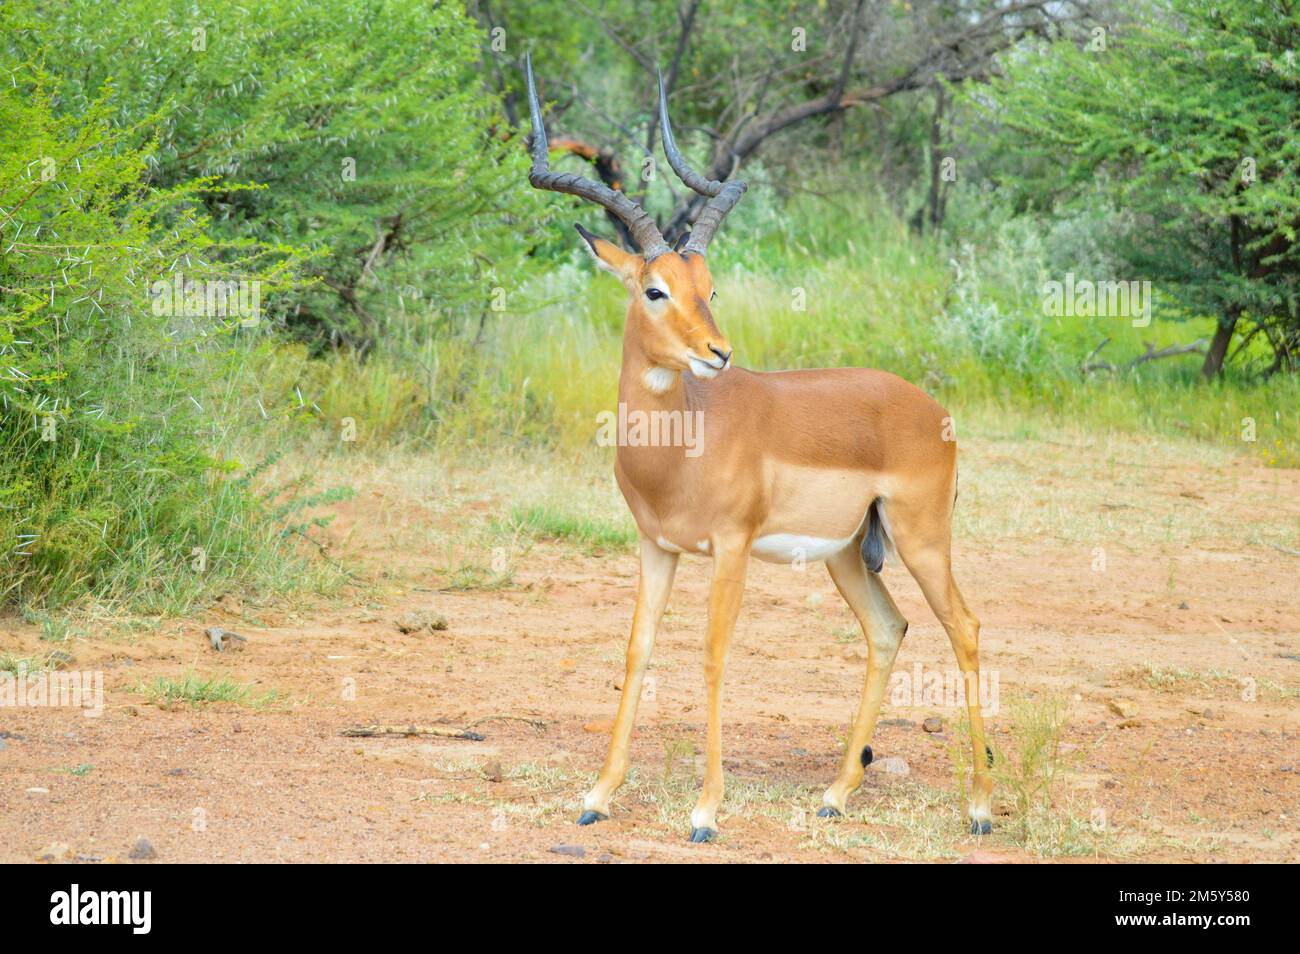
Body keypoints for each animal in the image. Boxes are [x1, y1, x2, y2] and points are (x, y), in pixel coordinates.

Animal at [524, 56, 992, 843]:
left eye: (710, 288)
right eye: (655, 290)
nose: (718, 353)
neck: (680, 444)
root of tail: (936, 411)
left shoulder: (731, 548)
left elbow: (713, 656)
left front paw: (706, 812)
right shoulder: (655, 546)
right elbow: (637, 649)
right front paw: (598, 796)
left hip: (922, 537)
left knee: (964, 625)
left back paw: (983, 809)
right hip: (846, 553)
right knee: (888, 628)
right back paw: (834, 795)